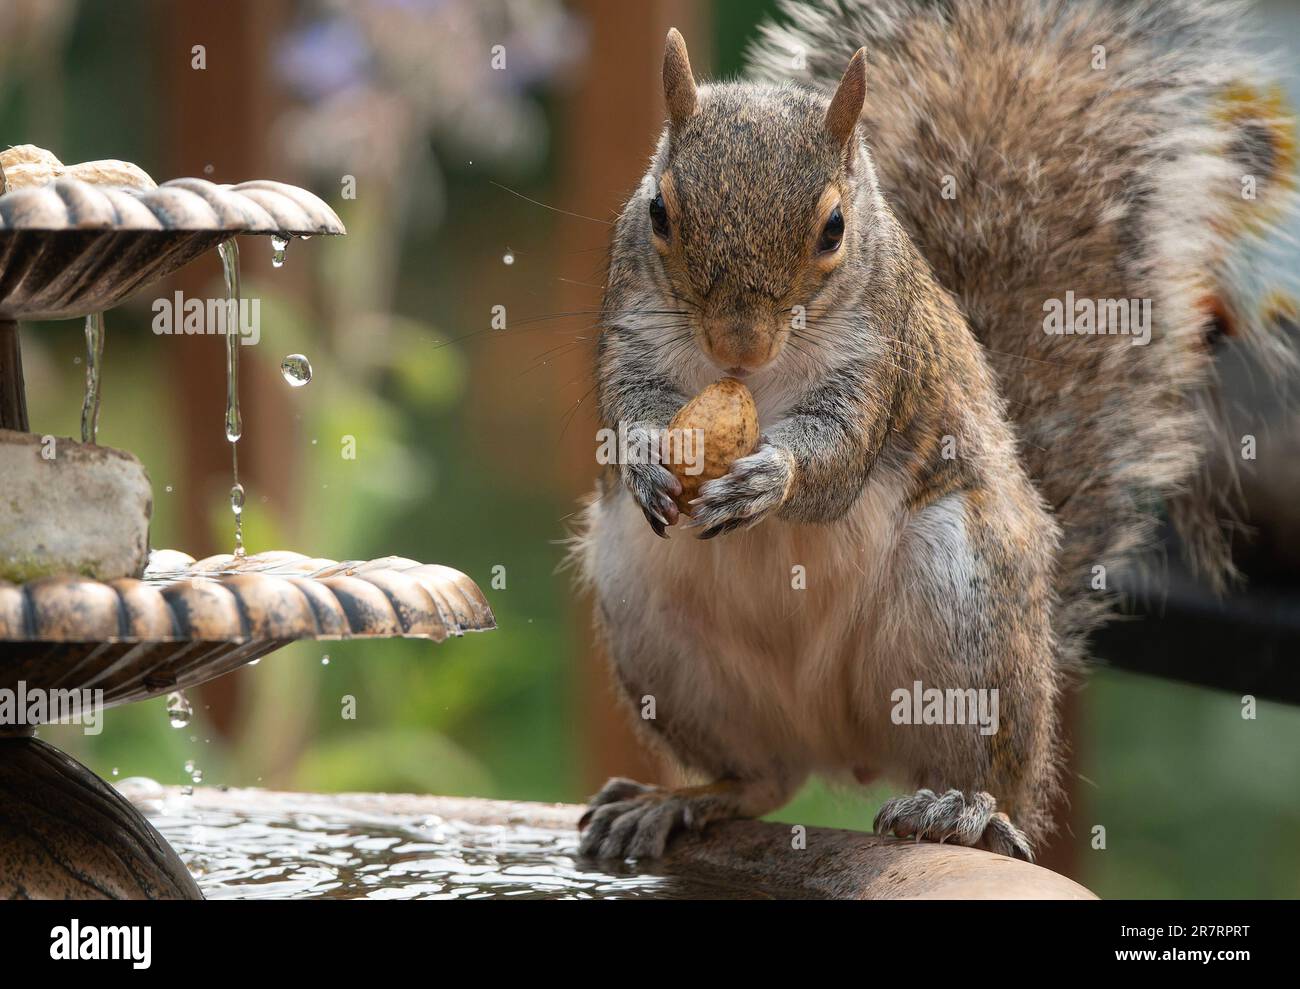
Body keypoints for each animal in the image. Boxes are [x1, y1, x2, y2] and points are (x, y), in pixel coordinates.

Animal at [573, 0, 1296, 861]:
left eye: (833, 228)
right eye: (659, 212)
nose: (736, 346)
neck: (753, 384)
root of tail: (844, 750)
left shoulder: (884, 365)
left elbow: (836, 460)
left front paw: (770, 479)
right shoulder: (630, 334)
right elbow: (627, 411)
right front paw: (648, 461)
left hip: (964, 606)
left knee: (994, 783)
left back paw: (962, 810)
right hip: (655, 630)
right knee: (762, 779)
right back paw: (675, 802)